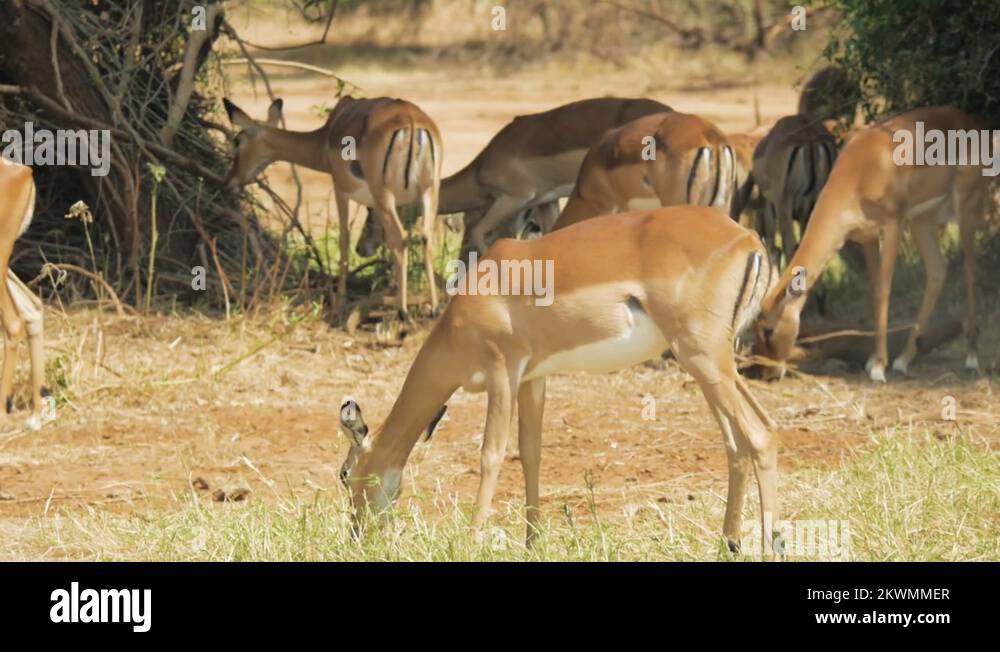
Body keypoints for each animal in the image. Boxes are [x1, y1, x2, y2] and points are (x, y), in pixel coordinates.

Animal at [223, 96, 444, 319]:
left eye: (237, 142)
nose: (229, 182)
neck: (327, 136)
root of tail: (411, 120)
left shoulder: (339, 189)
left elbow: (344, 239)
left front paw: (340, 302)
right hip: (429, 192)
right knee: (425, 238)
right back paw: (434, 308)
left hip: (384, 194)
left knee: (399, 239)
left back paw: (403, 311)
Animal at [338, 206, 780, 556]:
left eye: (344, 474)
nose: (356, 536)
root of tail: (746, 239)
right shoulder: (533, 378)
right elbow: (530, 453)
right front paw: (531, 544)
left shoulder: (502, 371)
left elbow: (490, 455)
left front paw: (470, 542)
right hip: (713, 364)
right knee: (741, 440)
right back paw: (729, 543)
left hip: (703, 358)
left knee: (760, 434)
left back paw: (765, 547)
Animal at [756, 106, 990, 382]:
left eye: (769, 329)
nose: (768, 373)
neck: (860, 171)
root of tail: (968, 120)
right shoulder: (867, 236)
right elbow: (874, 289)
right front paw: (874, 361)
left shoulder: (891, 227)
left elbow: (883, 290)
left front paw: (878, 367)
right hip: (922, 220)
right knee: (937, 272)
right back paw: (903, 361)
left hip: (965, 210)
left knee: (970, 274)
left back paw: (972, 358)